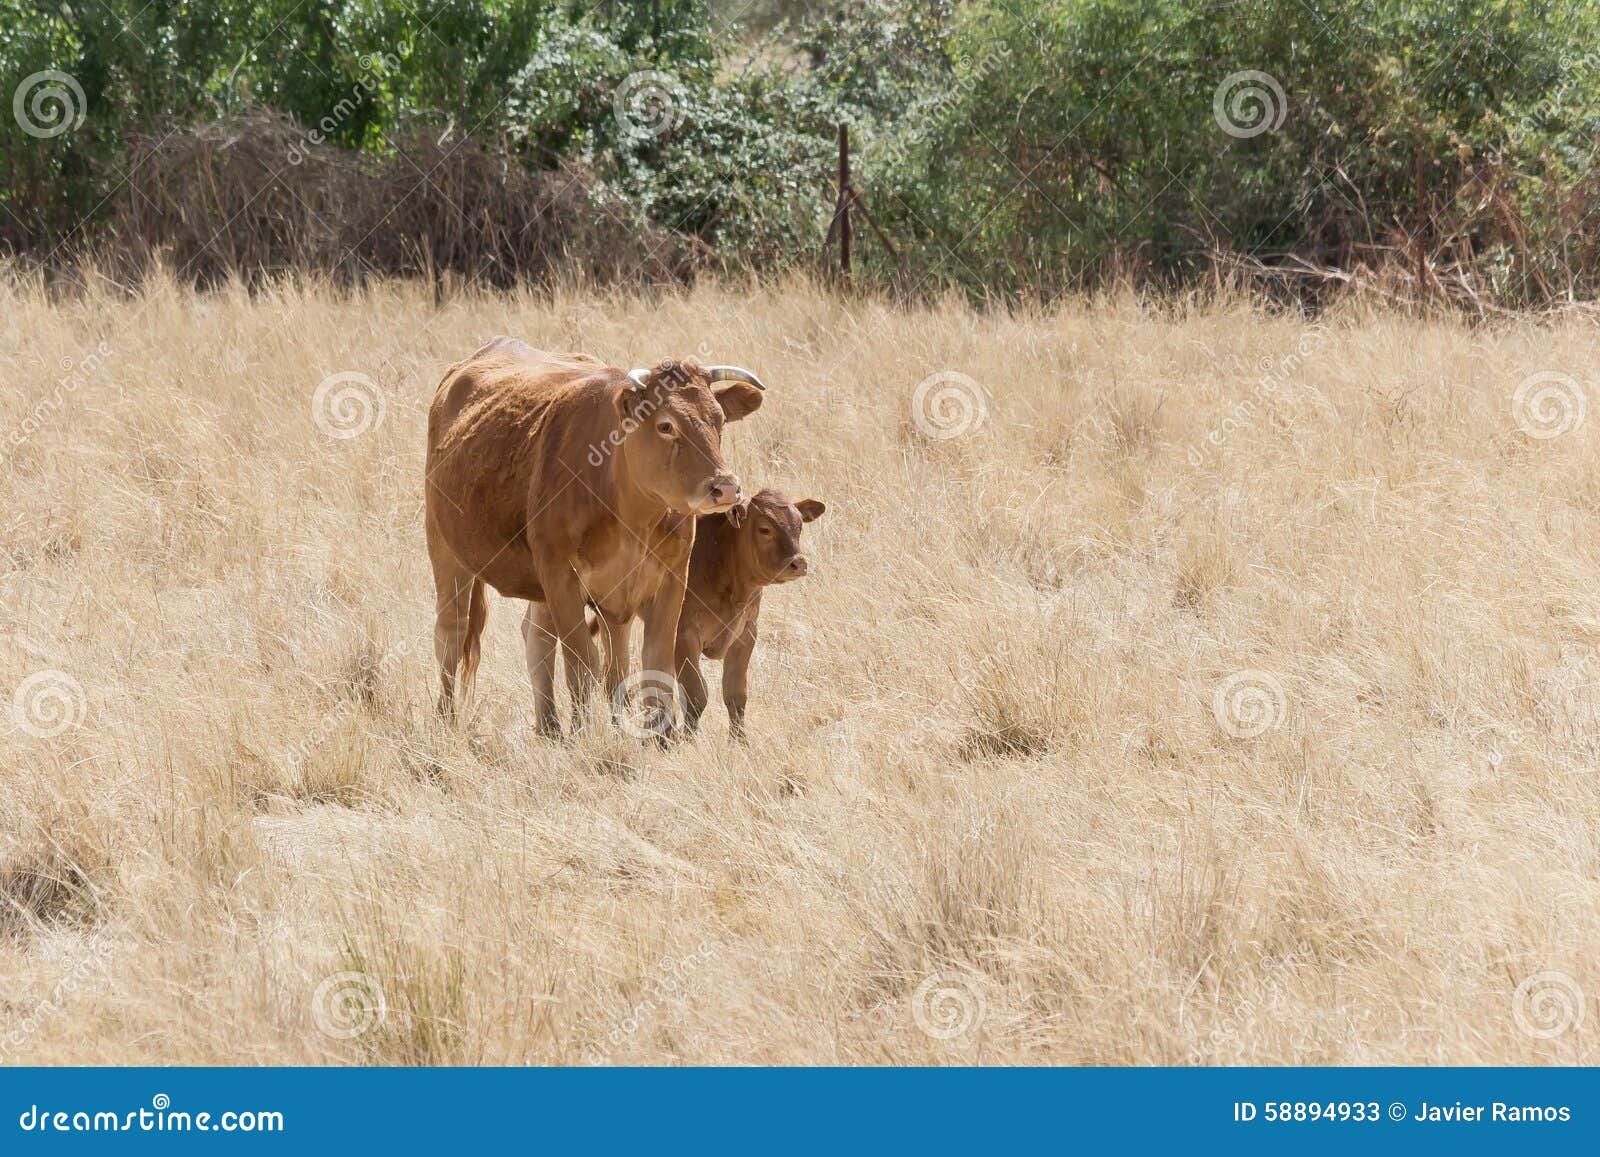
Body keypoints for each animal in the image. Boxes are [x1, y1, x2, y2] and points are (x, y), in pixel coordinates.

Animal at [424, 338, 765, 734]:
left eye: (719, 419)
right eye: (666, 425)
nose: (725, 487)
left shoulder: (669, 578)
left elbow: (652, 661)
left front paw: (657, 733)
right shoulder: (561, 576)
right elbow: (582, 664)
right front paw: (586, 732)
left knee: (542, 638)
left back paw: (552, 726)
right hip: (446, 550)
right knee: (452, 633)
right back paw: (446, 719)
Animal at [673, 489, 826, 738]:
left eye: (800, 526)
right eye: (764, 529)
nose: (799, 564)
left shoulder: (746, 633)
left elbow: (736, 694)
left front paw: (740, 741)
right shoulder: (683, 633)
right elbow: (695, 693)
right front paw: (688, 739)